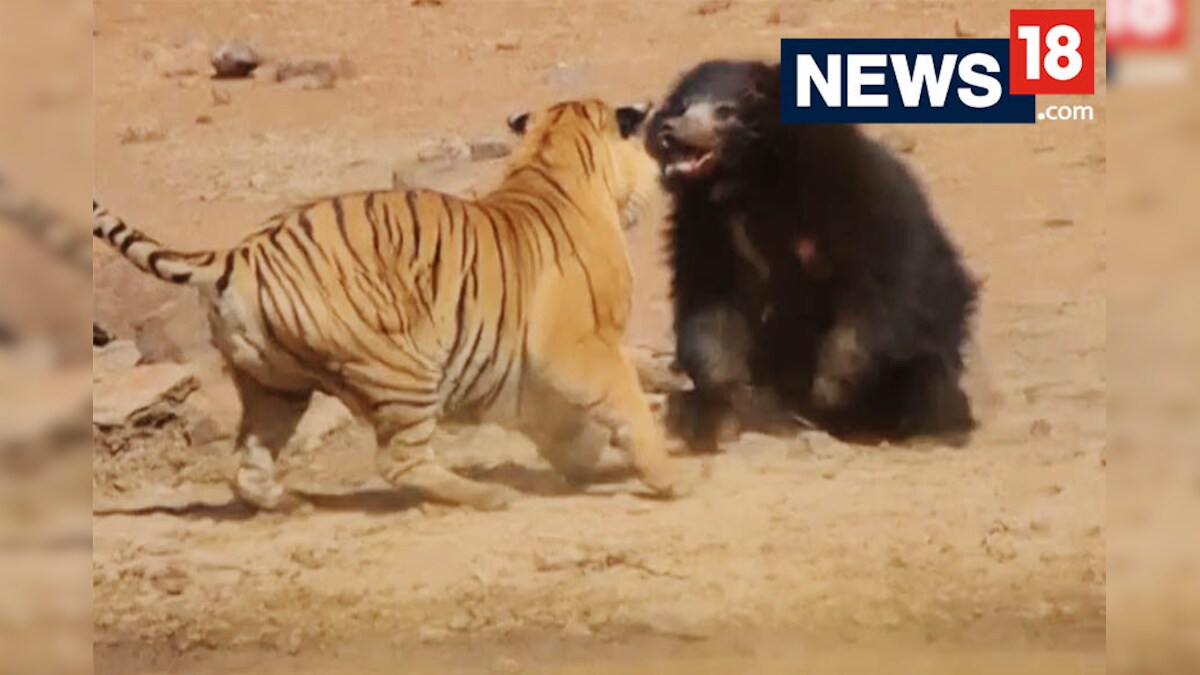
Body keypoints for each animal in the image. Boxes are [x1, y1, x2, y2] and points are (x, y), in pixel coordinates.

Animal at [92, 98, 686, 512]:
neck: (549, 159)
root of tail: (243, 253)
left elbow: (586, 407)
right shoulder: (572, 347)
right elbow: (622, 400)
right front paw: (664, 474)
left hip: (272, 386)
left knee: (246, 464)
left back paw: (288, 504)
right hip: (403, 367)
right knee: (399, 461)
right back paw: (486, 496)